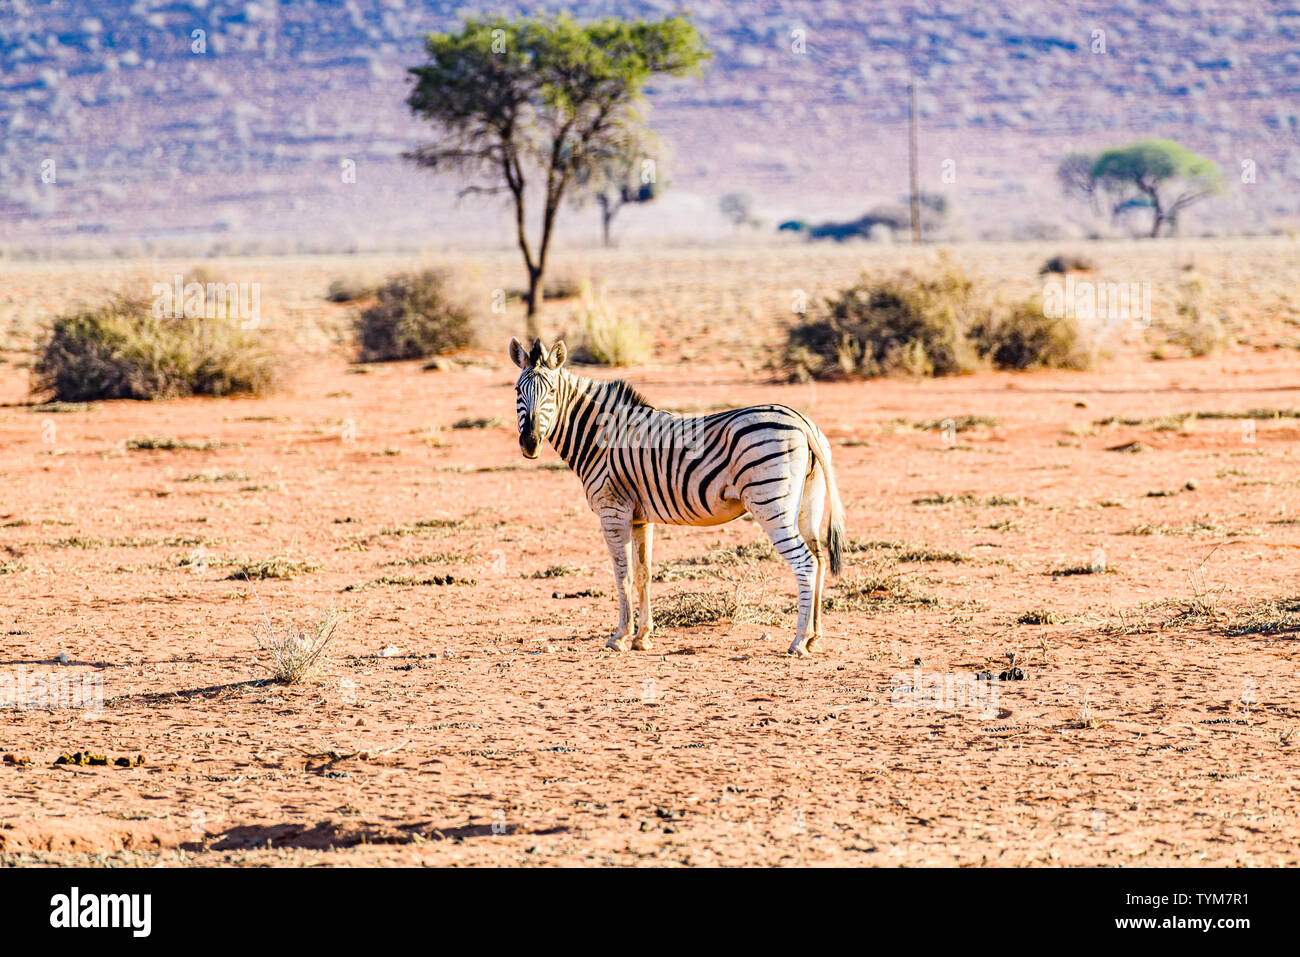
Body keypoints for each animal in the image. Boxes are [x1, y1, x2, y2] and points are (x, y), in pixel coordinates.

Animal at [510, 337, 845, 656]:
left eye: (552, 392)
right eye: (517, 391)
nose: (530, 443)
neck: (601, 439)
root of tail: (801, 421)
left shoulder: (613, 511)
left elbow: (622, 575)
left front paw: (619, 637)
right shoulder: (640, 518)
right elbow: (643, 574)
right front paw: (642, 637)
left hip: (771, 504)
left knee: (805, 563)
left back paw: (799, 640)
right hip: (808, 505)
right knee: (819, 559)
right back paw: (814, 637)